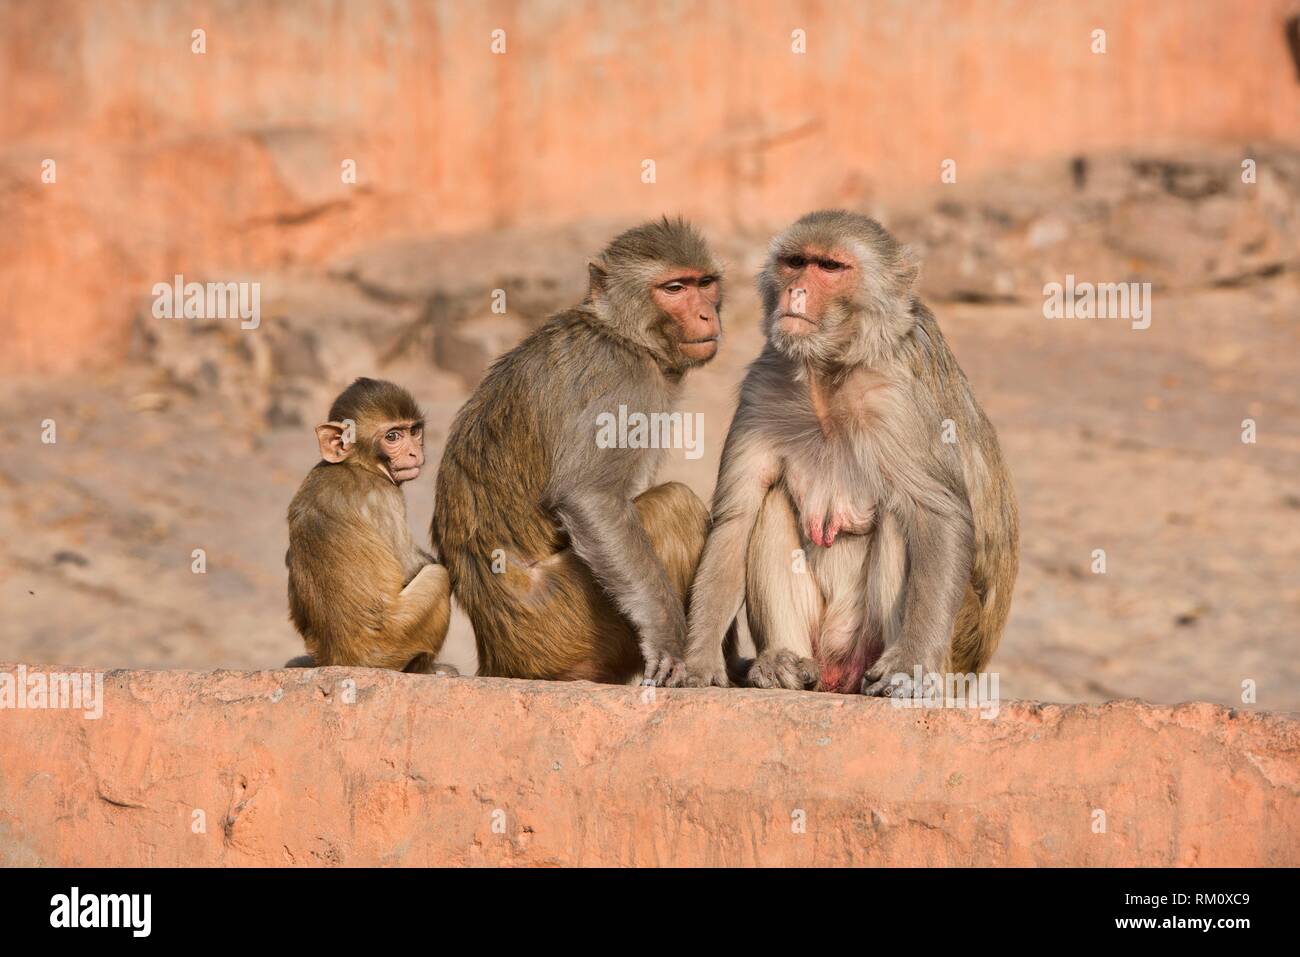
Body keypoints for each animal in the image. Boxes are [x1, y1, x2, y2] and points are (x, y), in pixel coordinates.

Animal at [284, 377, 457, 675]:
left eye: (413, 431)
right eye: (392, 437)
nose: (414, 452)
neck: (357, 464)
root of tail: (345, 659)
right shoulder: (385, 495)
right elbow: (410, 565)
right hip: (398, 639)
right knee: (438, 576)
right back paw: (425, 668)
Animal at [432, 217, 735, 686]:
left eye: (704, 283)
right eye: (674, 288)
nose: (707, 314)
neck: (621, 333)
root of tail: (498, 657)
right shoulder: (621, 378)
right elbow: (590, 498)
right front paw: (666, 636)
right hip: (564, 627)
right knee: (675, 503)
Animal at [678, 210, 1018, 697]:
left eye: (830, 267)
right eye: (795, 262)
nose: (796, 292)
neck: (830, 369)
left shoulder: (896, 395)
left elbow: (939, 514)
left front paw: (910, 664)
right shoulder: (765, 382)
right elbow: (736, 518)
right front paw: (699, 660)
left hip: (948, 648)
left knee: (900, 516)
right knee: (771, 501)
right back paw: (782, 663)